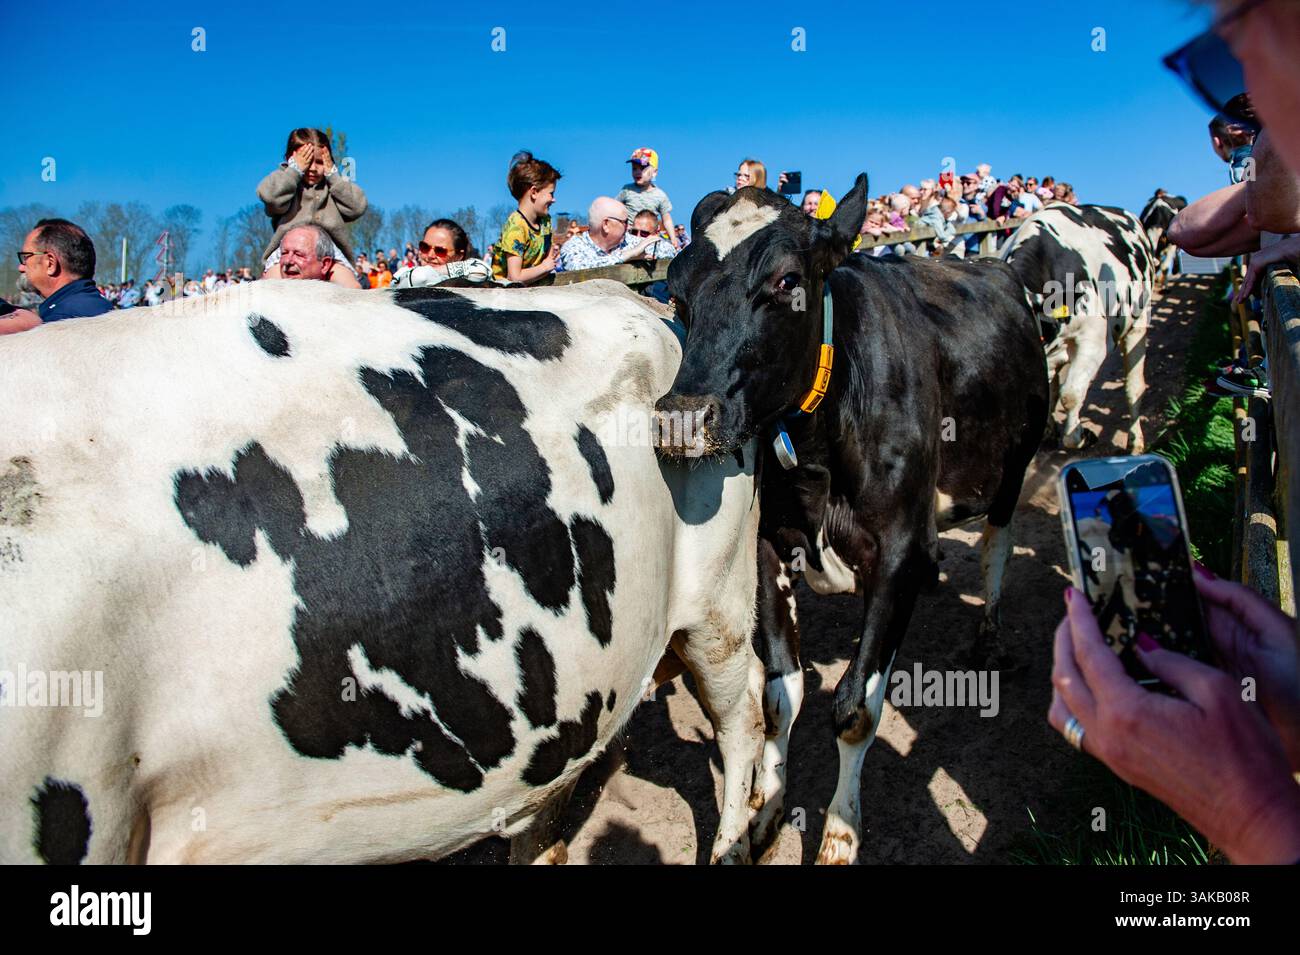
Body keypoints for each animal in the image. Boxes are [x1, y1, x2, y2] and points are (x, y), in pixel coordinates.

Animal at [654, 176, 1049, 864]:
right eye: (676, 287)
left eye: (787, 281)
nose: (681, 418)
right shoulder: (768, 546)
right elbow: (780, 694)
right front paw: (765, 813)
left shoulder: (895, 553)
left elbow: (855, 707)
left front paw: (839, 836)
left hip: (1015, 463)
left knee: (997, 544)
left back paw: (991, 633)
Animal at [999, 203, 1156, 453]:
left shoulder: (1095, 341)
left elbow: (1071, 395)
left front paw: (1080, 436)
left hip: (1138, 321)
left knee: (1134, 387)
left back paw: (1135, 442)